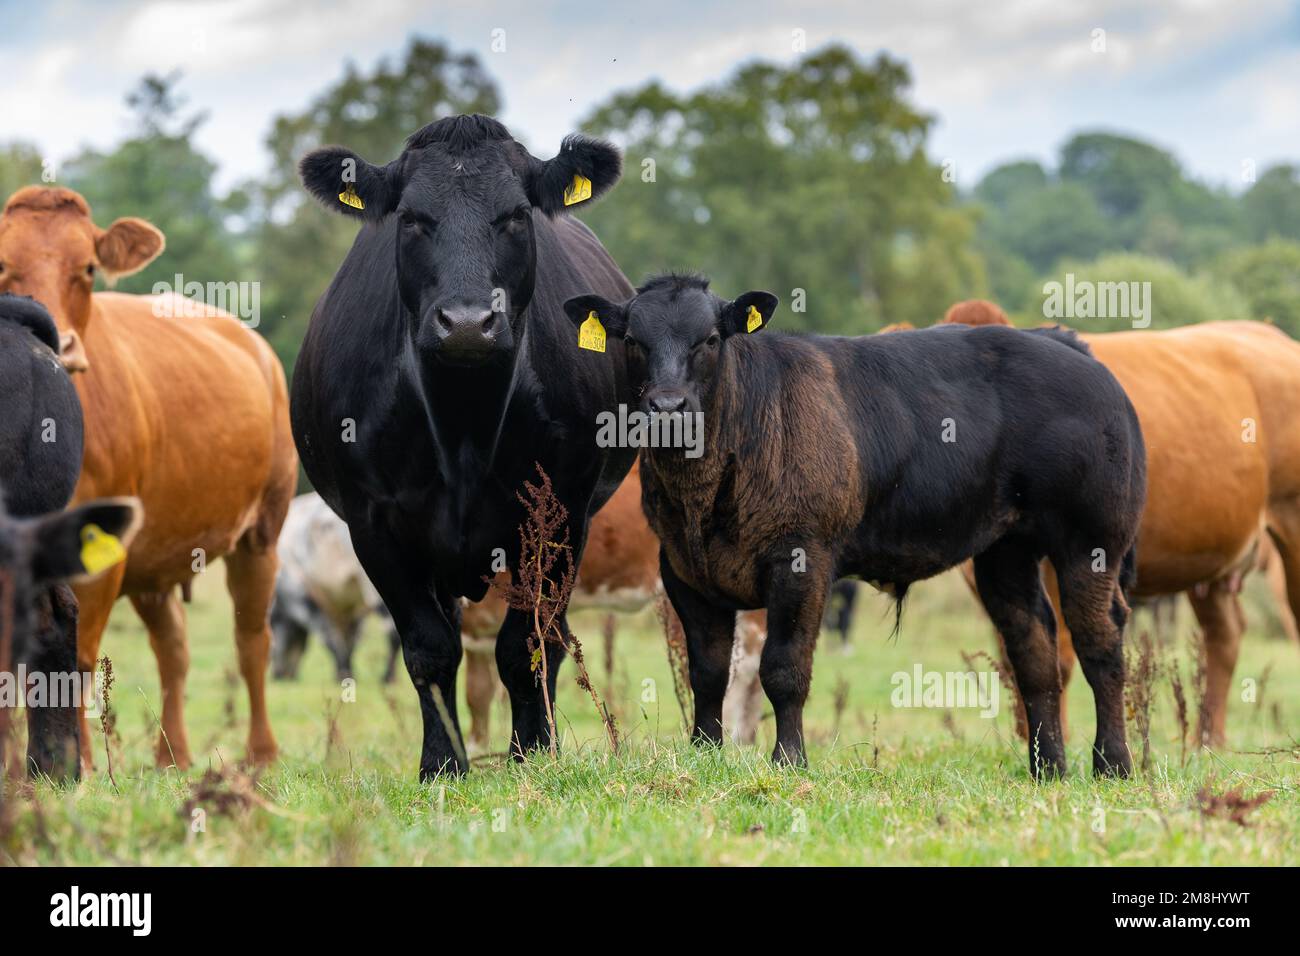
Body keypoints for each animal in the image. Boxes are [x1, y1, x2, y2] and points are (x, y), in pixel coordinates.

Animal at [270, 492, 400, 683]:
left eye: (271, 624)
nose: (279, 676)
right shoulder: (350, 606)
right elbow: (350, 638)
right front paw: (346, 675)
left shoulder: (303, 594)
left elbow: (328, 637)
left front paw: (343, 674)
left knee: (392, 630)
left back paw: (386, 678)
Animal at [293, 114, 636, 779]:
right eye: (411, 219)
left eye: (516, 216)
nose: (469, 324)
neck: (463, 427)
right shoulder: (374, 524)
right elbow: (429, 649)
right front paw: (441, 764)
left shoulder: (563, 512)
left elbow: (525, 645)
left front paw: (533, 754)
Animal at [564, 273, 1147, 778]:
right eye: (633, 341)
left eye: (709, 339)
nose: (667, 406)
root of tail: (1060, 341)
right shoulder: (683, 569)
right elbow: (707, 672)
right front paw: (704, 755)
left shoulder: (802, 558)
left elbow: (784, 668)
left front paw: (789, 760)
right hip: (1007, 551)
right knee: (1034, 648)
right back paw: (1048, 767)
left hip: (1092, 544)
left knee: (1100, 642)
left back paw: (1112, 763)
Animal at [944, 301, 1300, 745]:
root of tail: (1269, 333)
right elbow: (1019, 649)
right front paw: (1028, 738)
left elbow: (1060, 654)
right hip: (1212, 553)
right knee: (1226, 633)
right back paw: (1207, 742)